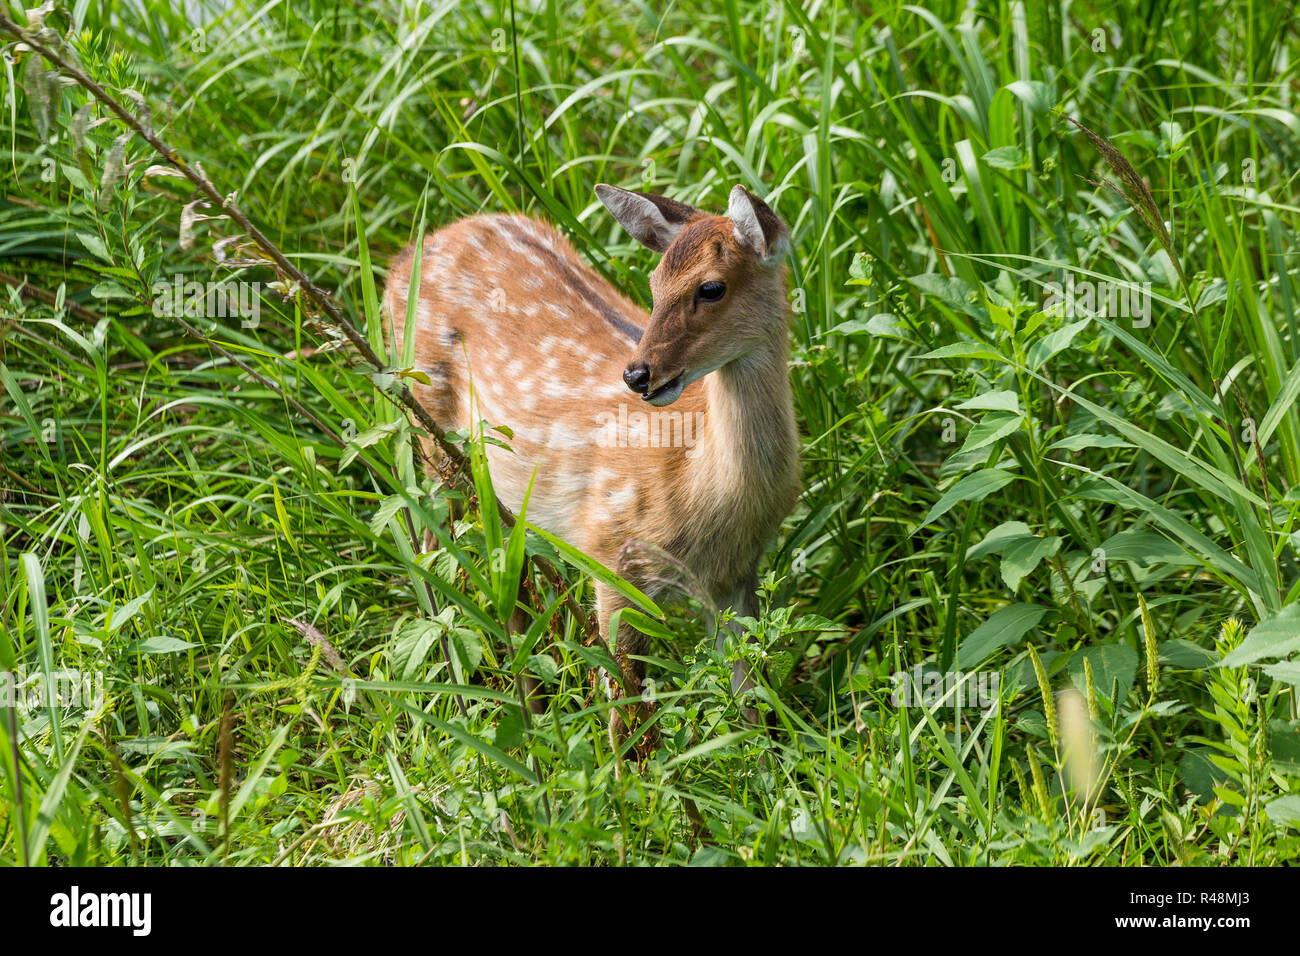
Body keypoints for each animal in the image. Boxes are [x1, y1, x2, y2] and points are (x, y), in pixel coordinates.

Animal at [383, 183, 800, 752]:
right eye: (654, 285)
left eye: (712, 287)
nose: (638, 375)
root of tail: (403, 257)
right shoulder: (610, 551)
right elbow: (625, 712)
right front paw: (633, 777)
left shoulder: (736, 574)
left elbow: (752, 701)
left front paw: (768, 770)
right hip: (432, 434)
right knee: (435, 558)